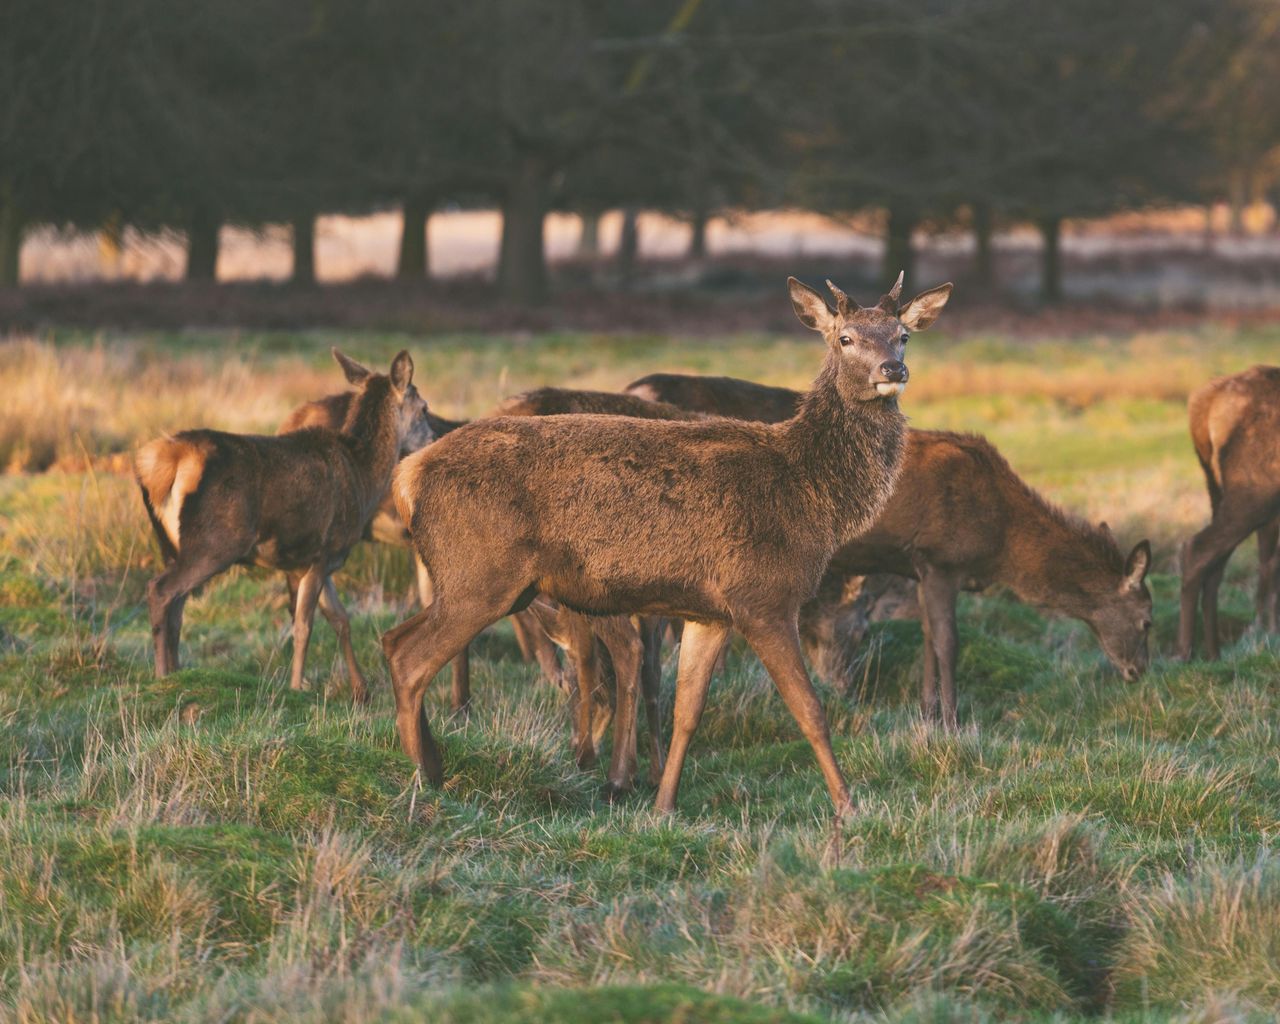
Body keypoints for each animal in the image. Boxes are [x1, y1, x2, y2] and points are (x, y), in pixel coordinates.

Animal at [136, 350, 422, 701]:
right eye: (424, 408)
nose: (433, 438)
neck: (363, 475)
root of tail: (163, 462)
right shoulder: (324, 550)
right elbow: (304, 624)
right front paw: (298, 685)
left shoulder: (310, 562)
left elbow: (340, 618)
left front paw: (361, 688)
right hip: (215, 541)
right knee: (161, 590)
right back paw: (161, 676)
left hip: (173, 547)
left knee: (177, 605)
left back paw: (179, 673)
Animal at [383, 274, 952, 820]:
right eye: (845, 337)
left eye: (902, 335)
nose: (893, 369)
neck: (810, 495)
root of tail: (407, 475)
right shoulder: (764, 596)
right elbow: (810, 710)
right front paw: (848, 808)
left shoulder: (710, 611)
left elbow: (688, 712)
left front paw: (663, 805)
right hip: (484, 573)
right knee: (413, 660)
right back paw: (427, 778)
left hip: (470, 577)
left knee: (393, 640)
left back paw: (432, 761)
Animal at [630, 376, 1154, 728]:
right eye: (1148, 620)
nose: (1138, 672)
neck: (1000, 539)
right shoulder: (940, 557)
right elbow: (948, 641)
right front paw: (953, 720)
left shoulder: (918, 568)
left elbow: (926, 638)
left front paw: (926, 713)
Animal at [1179, 365, 1280, 660]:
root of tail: (1204, 402)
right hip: (1257, 491)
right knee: (1196, 548)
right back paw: (1185, 653)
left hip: (1219, 490)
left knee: (1216, 566)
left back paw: (1214, 654)